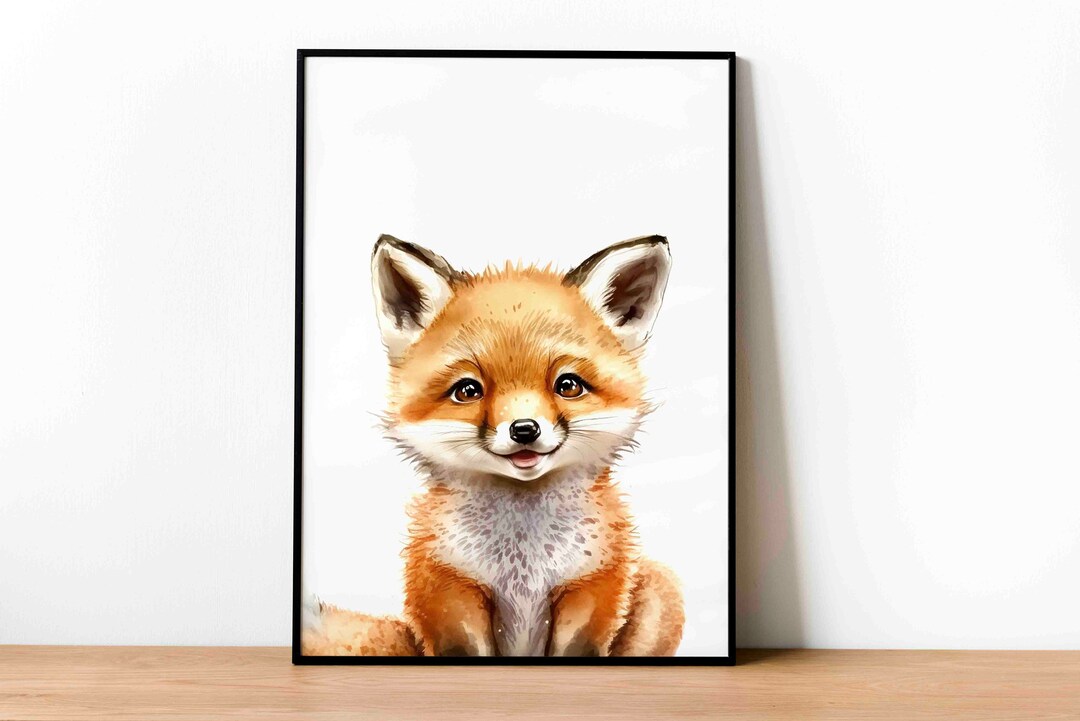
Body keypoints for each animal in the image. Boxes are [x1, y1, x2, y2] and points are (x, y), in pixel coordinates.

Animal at [301, 233, 684, 657]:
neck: (523, 564)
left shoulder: (590, 589)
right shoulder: (450, 592)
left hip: (662, 588)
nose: (524, 430)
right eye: (468, 390)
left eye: (568, 385)